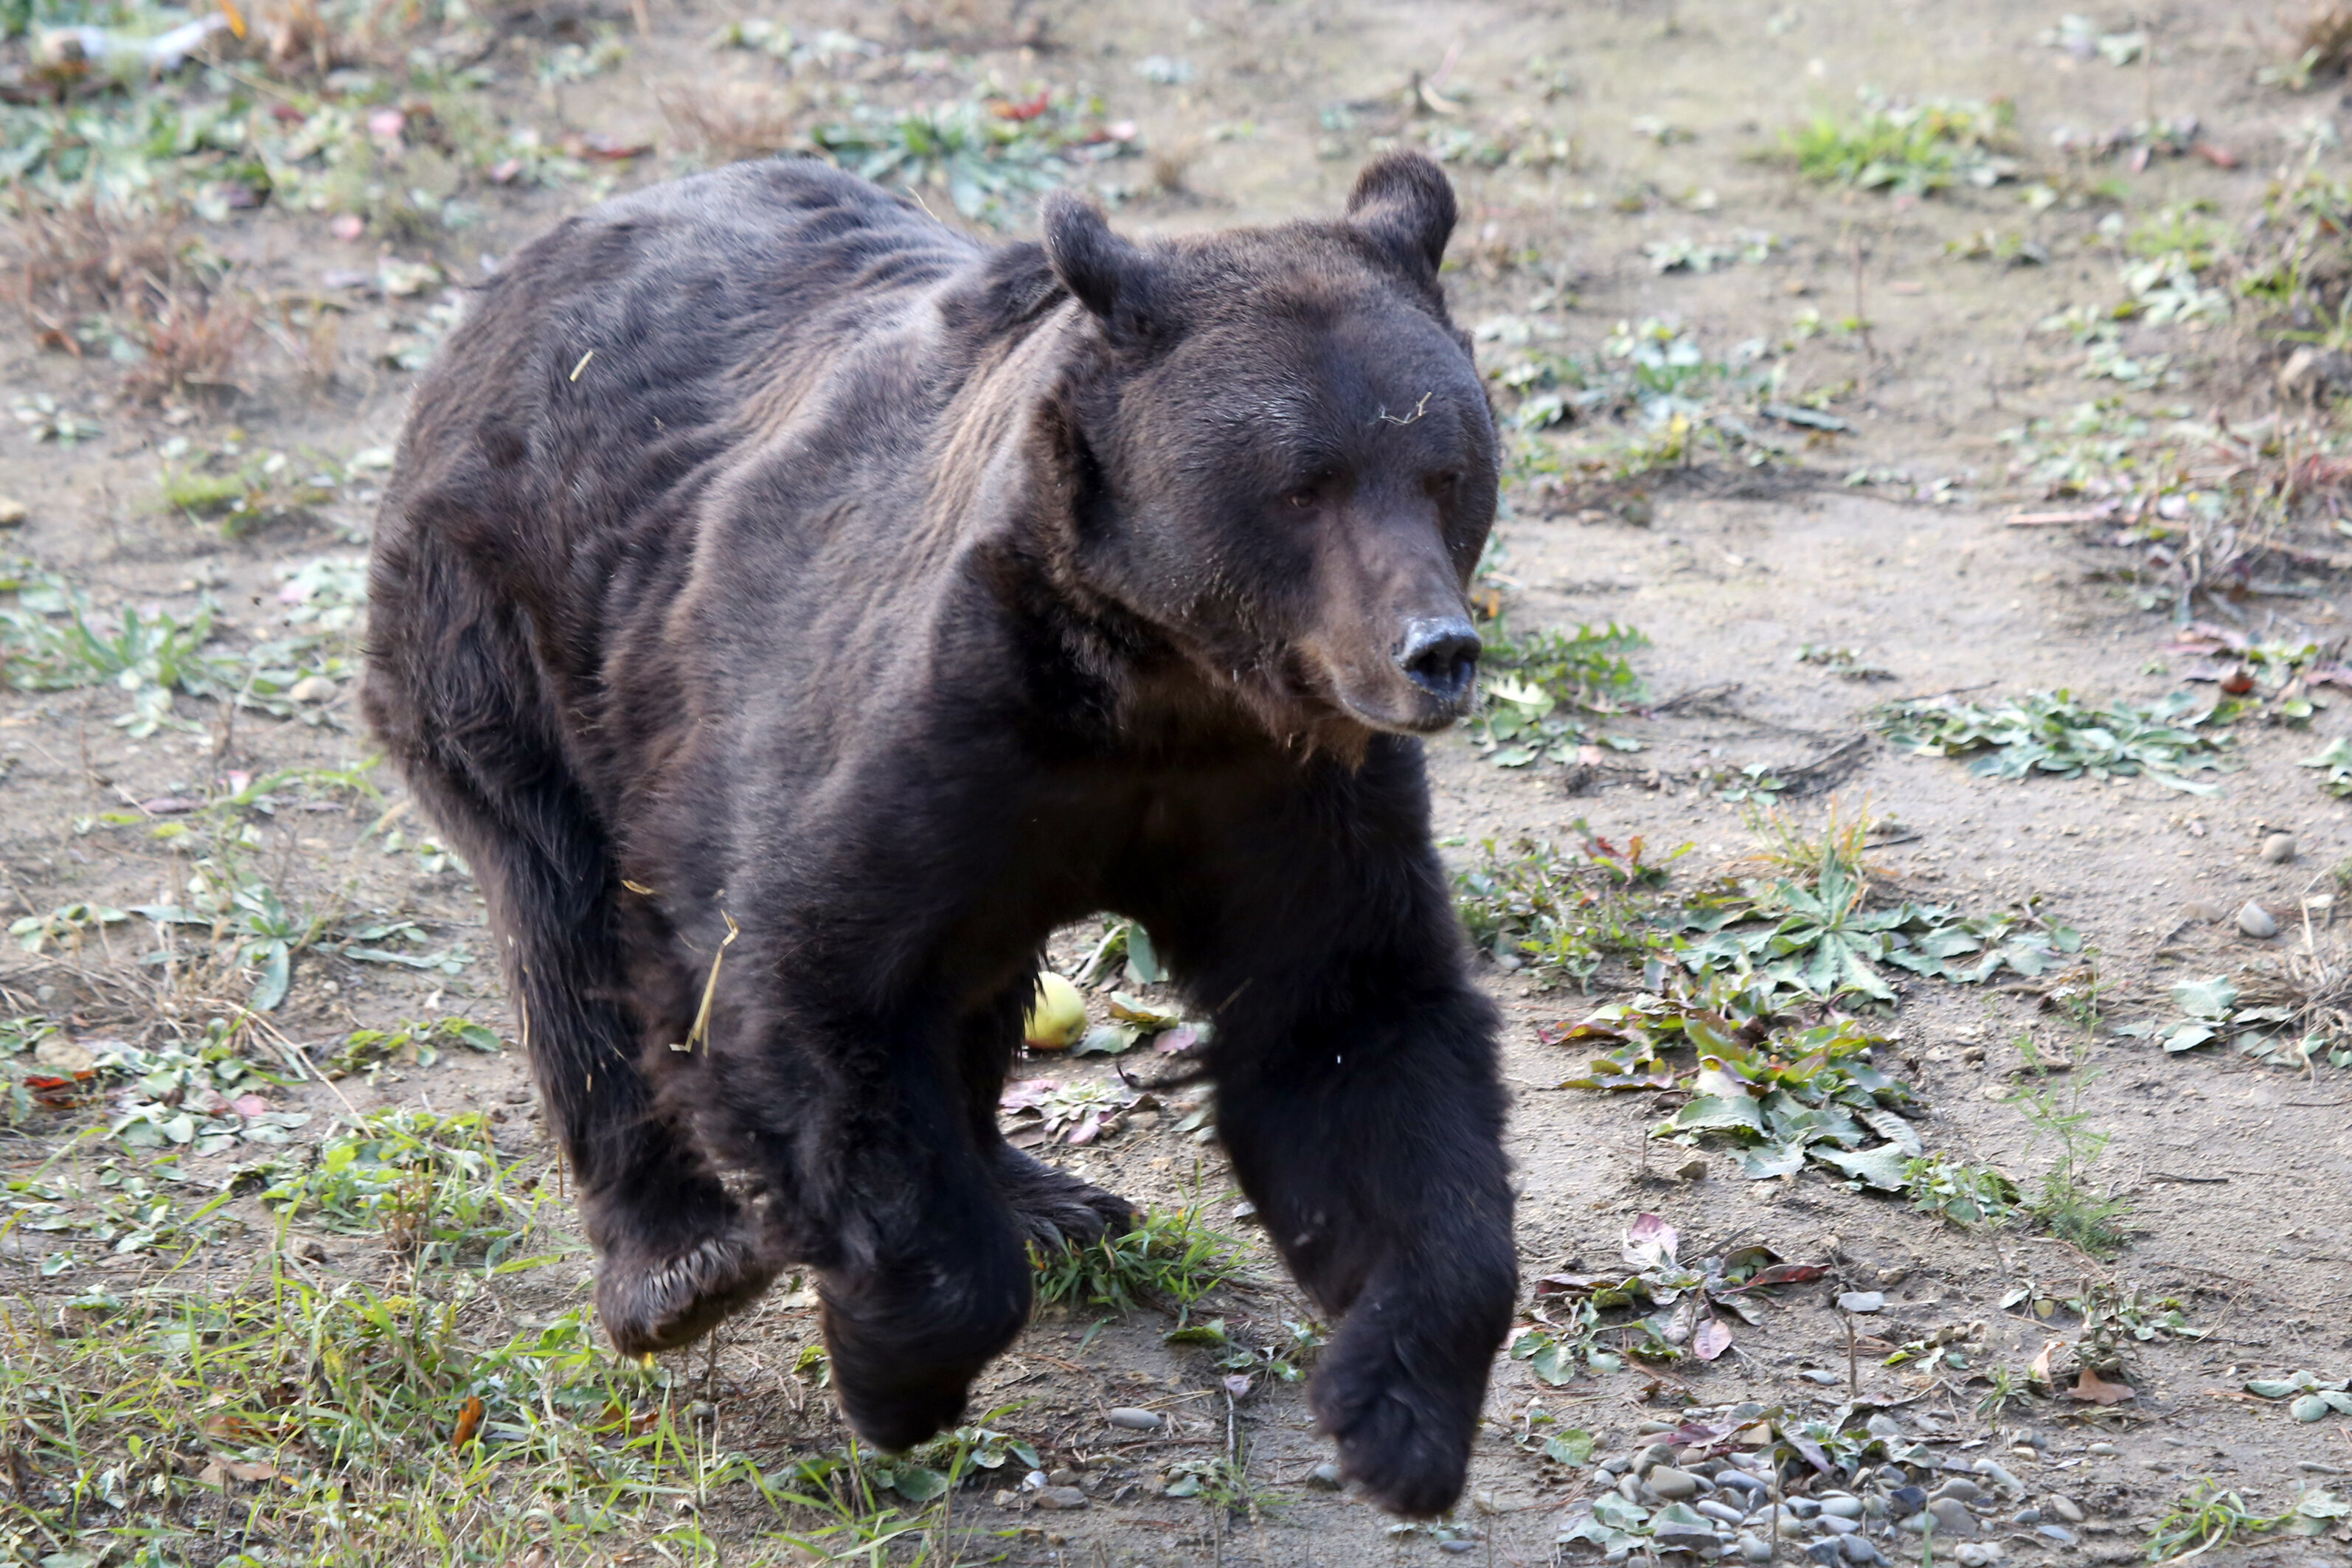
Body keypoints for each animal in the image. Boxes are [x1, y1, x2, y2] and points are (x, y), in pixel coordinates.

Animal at [360, 149, 1516, 1517]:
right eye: (1301, 484)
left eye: (1445, 468)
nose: (1432, 652)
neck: (1152, 686)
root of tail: (547, 251)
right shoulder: (926, 729)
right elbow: (803, 988)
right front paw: (896, 1373)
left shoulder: (1279, 798)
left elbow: (1354, 1027)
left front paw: (1398, 1414)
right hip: (514, 636)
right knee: (566, 924)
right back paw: (679, 1263)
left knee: (976, 978)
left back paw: (1047, 1194)